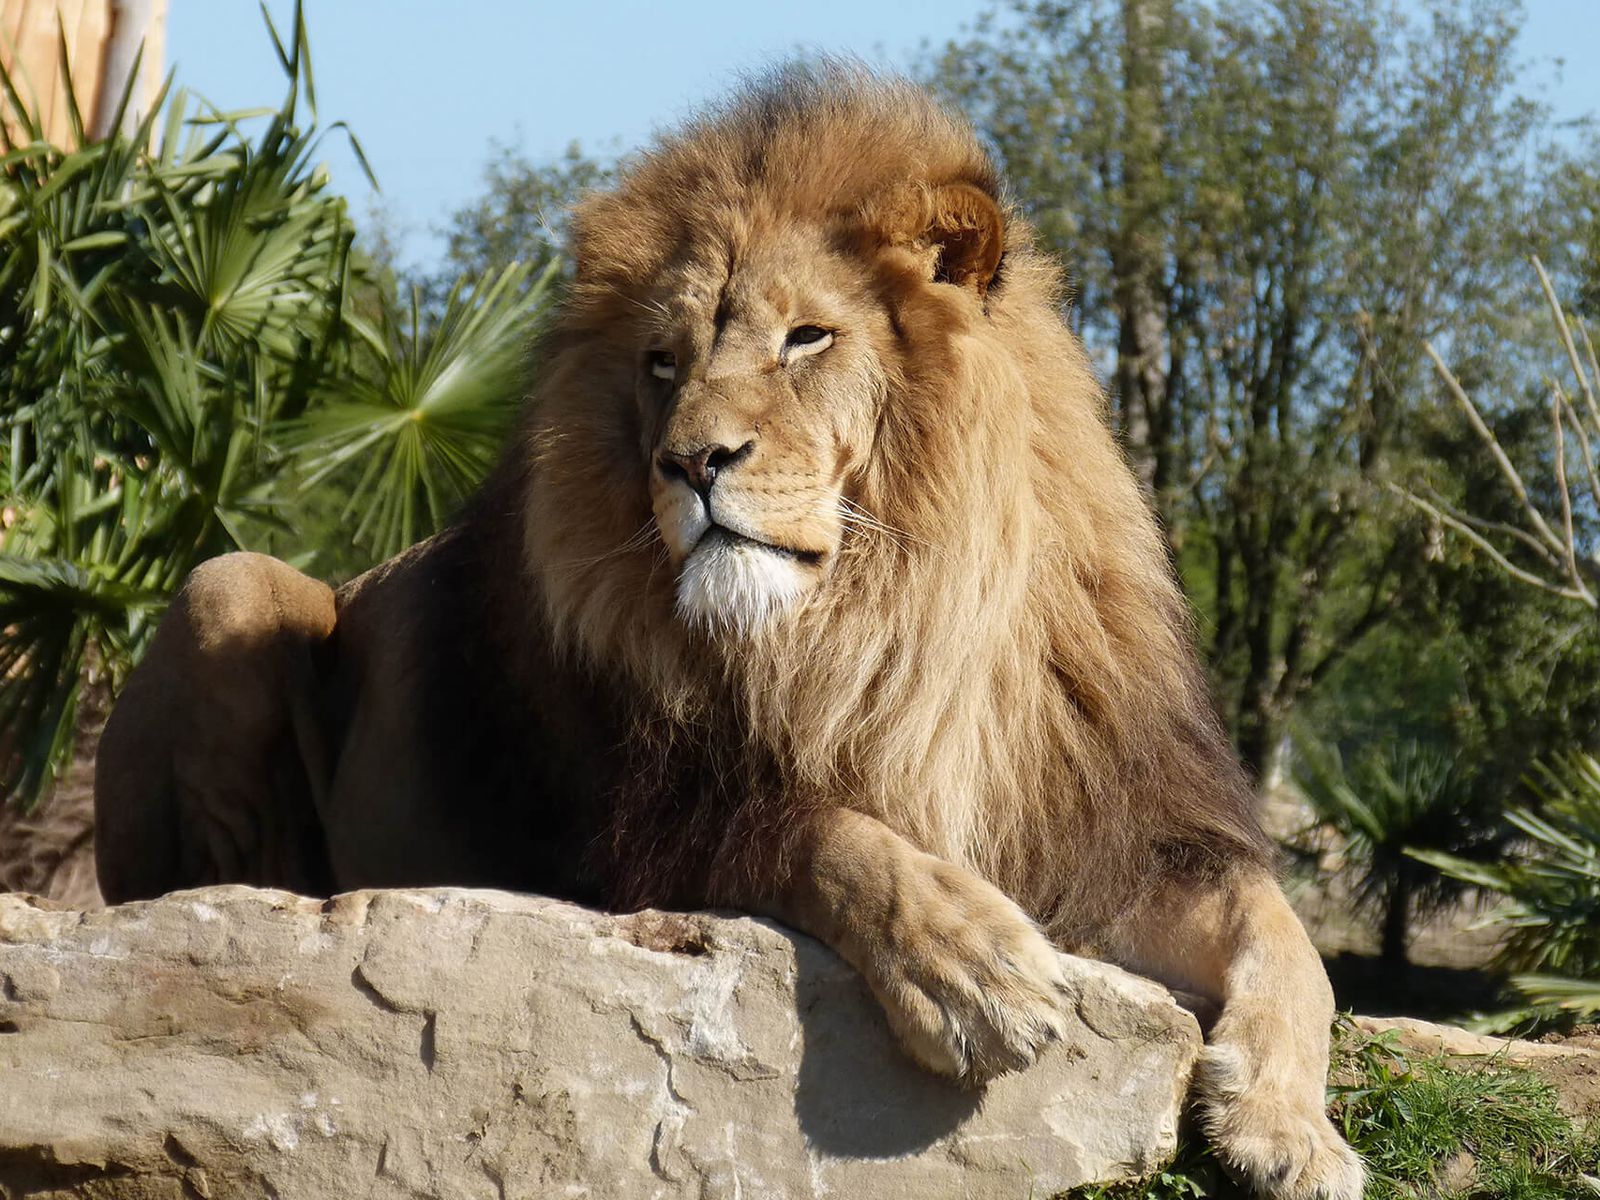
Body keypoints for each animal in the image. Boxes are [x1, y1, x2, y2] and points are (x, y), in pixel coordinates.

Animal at [94, 66, 1363, 1198]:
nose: (692, 462)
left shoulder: (1102, 827)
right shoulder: (620, 838)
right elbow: (820, 829)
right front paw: (971, 965)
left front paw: (1286, 1127)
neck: (880, 625)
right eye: (662, 363)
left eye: (805, 339)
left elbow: (1287, 936)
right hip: (226, 585)